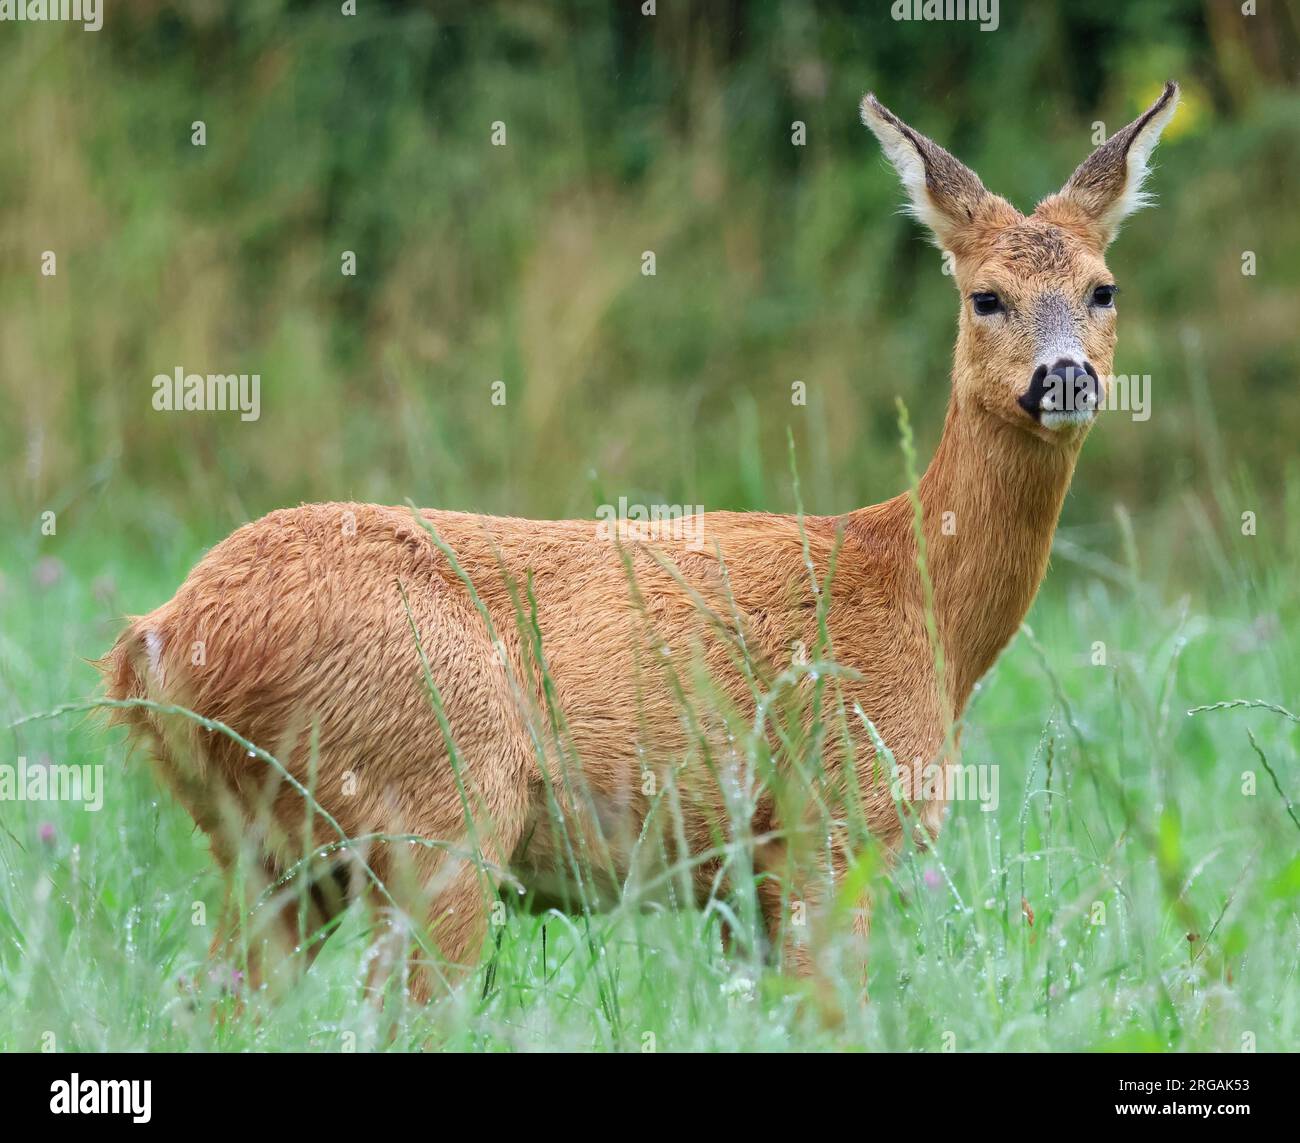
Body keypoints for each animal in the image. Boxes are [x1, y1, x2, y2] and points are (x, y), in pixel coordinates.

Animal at [101, 83, 1179, 1007]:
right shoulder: (829, 824)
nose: (1065, 377)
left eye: (1104, 288)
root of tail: (155, 641)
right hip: (438, 799)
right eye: (985, 295)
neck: (919, 601)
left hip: (274, 850)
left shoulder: (743, 881)